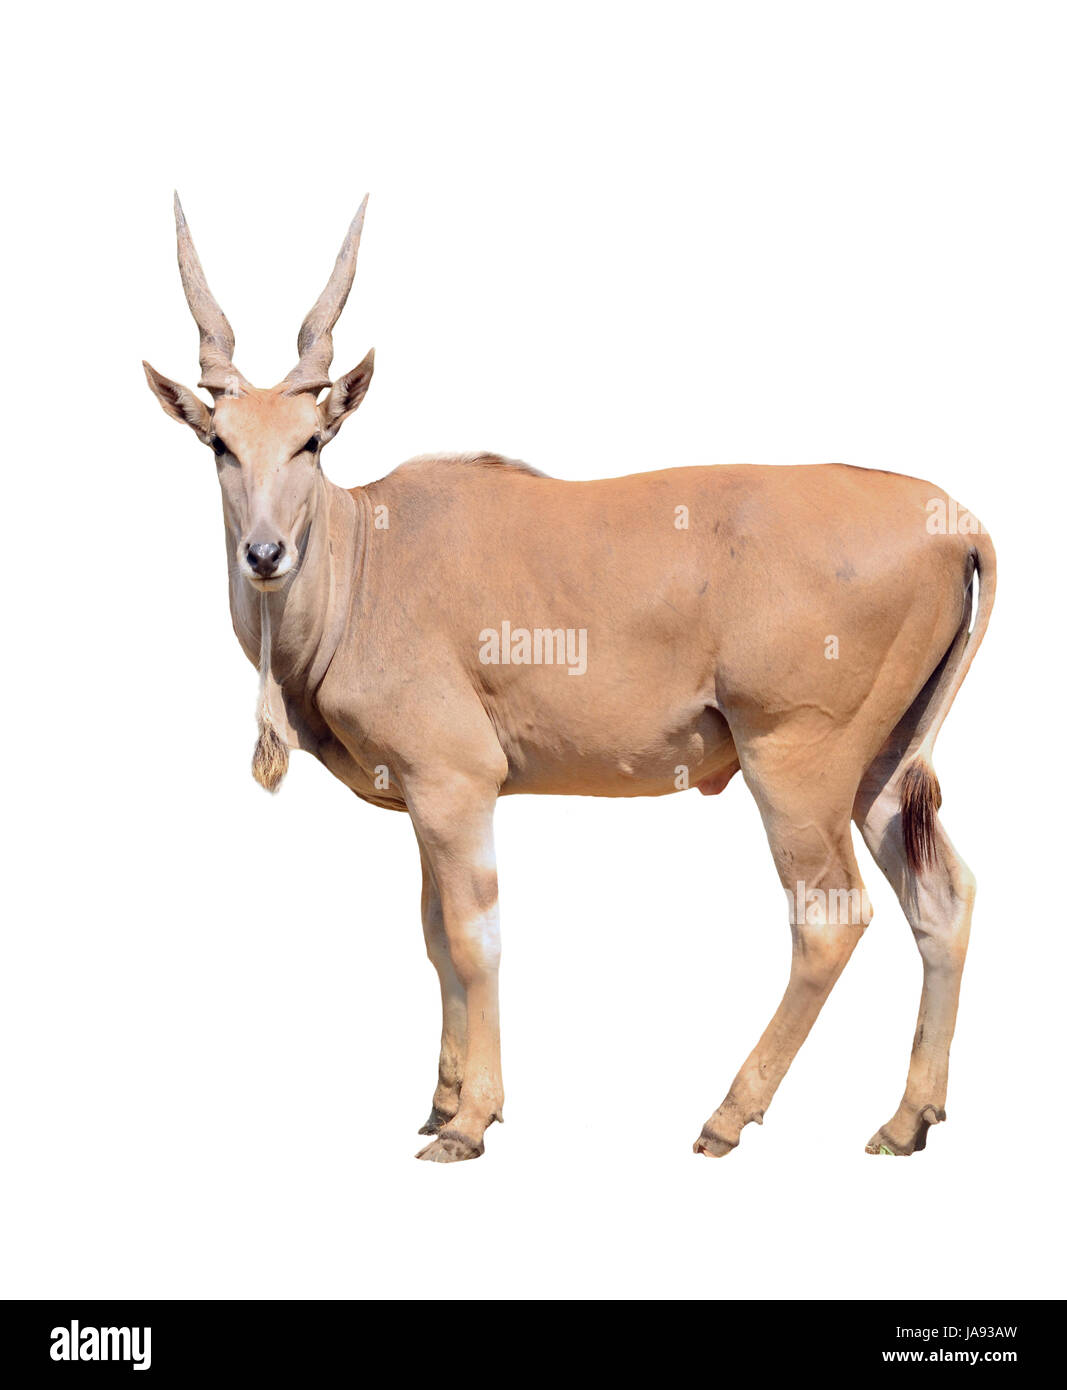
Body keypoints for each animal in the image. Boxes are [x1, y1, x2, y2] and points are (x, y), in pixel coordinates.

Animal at [144, 196, 995, 1163]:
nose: (264, 554)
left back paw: (726, 1115)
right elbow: (432, 935)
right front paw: (439, 1102)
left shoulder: (457, 784)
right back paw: (904, 1119)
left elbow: (472, 936)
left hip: (795, 765)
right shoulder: (426, 797)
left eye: (311, 441)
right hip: (878, 771)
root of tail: (953, 523)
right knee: (942, 897)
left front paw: (468, 1120)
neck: (367, 555)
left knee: (828, 920)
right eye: (219, 444)